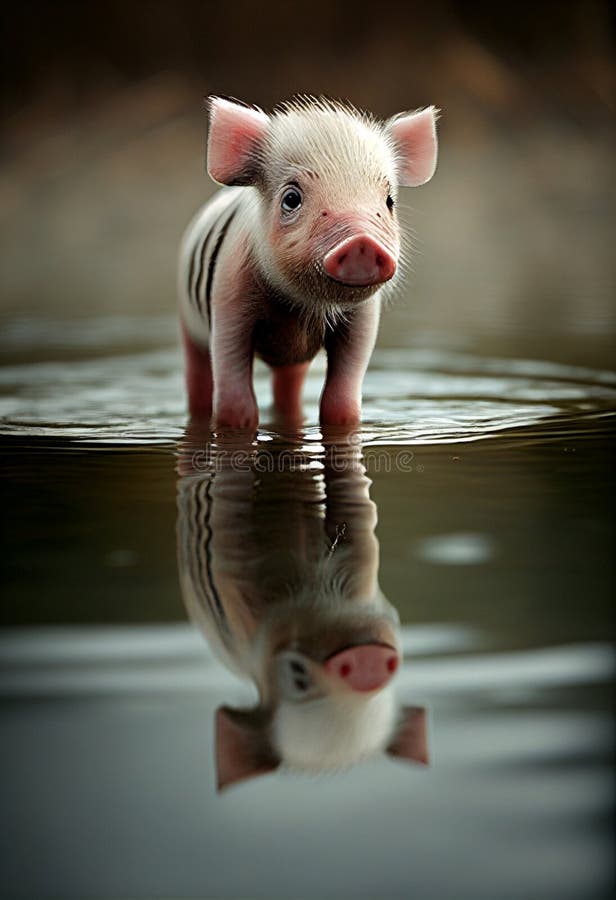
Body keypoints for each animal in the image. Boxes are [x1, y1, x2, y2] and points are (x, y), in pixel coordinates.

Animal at [176, 430, 428, 790]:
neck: (313, 589)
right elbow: (230, 512)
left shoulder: (361, 572)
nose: (368, 665)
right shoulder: (233, 584)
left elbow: (359, 513)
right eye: (297, 675)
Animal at [178, 95, 439, 428]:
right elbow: (235, 405)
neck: (301, 307)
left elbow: (341, 402)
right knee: (197, 380)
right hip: (188, 325)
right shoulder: (228, 300)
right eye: (291, 199)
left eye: (389, 201)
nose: (362, 243)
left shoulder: (362, 317)